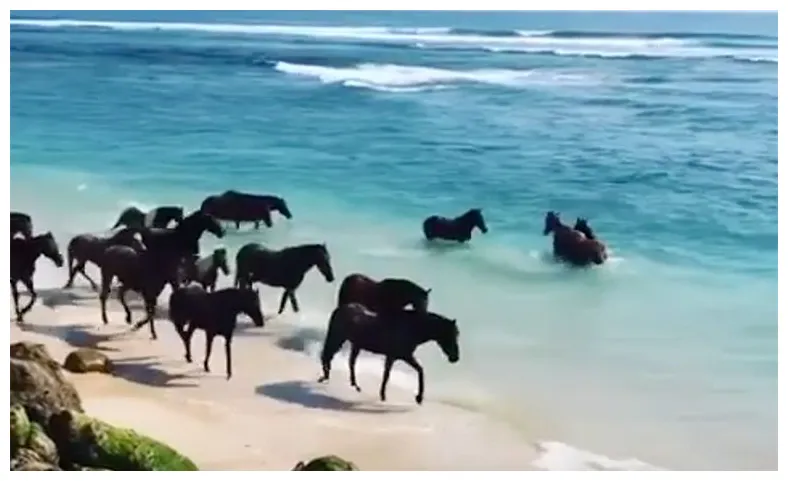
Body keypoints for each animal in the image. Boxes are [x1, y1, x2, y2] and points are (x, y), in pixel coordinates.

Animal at [317, 303, 460, 405]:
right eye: (451, 334)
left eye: (456, 334)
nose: (455, 358)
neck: (411, 327)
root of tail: (340, 308)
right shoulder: (401, 356)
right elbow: (417, 371)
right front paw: (418, 397)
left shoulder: (396, 356)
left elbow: (390, 374)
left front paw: (384, 395)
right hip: (339, 338)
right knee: (328, 355)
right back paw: (325, 376)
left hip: (354, 344)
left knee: (349, 362)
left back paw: (354, 385)